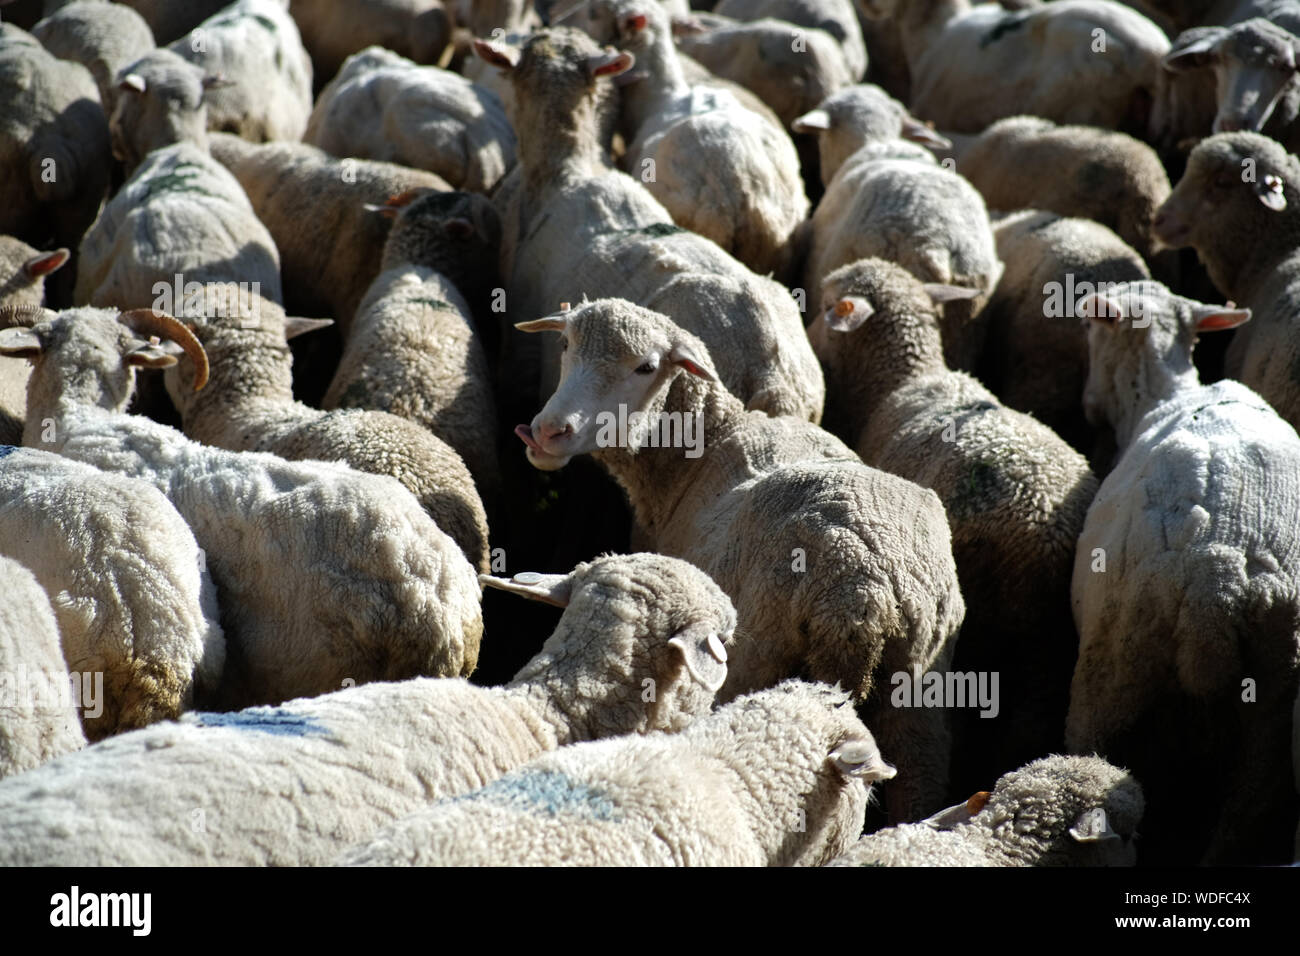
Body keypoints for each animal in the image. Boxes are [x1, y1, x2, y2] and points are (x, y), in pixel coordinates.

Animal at [515, 298, 965, 821]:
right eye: (566, 343)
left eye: (646, 367)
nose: (548, 432)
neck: (700, 453)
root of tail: (861, 587)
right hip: (921, 685)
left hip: (756, 655)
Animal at [1067, 279, 1300, 865]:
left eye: (1092, 329)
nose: (1087, 405)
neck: (1161, 397)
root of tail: (1218, 573)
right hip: (1277, 677)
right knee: (1247, 804)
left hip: (1114, 654)